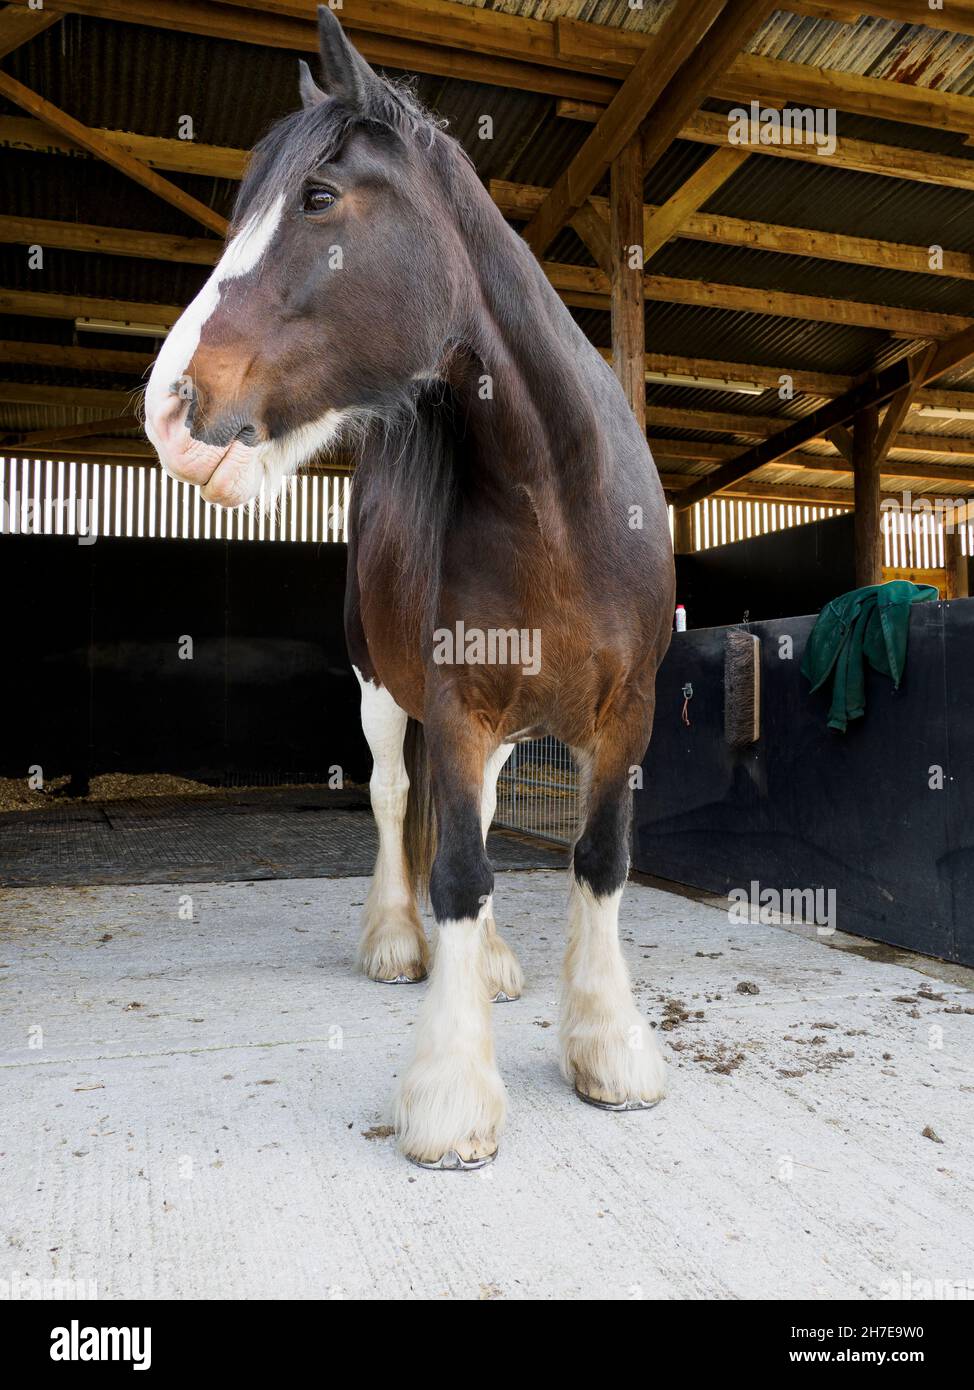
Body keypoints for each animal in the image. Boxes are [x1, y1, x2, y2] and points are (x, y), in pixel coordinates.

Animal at [145, 5, 675, 1170]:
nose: (167, 408)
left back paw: (494, 964)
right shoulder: (454, 701)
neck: (558, 499)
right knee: (397, 798)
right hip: (382, 690)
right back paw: (398, 941)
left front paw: (607, 1046)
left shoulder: (625, 711)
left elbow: (598, 857)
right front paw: (450, 1095)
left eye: (318, 198)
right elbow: (459, 867)